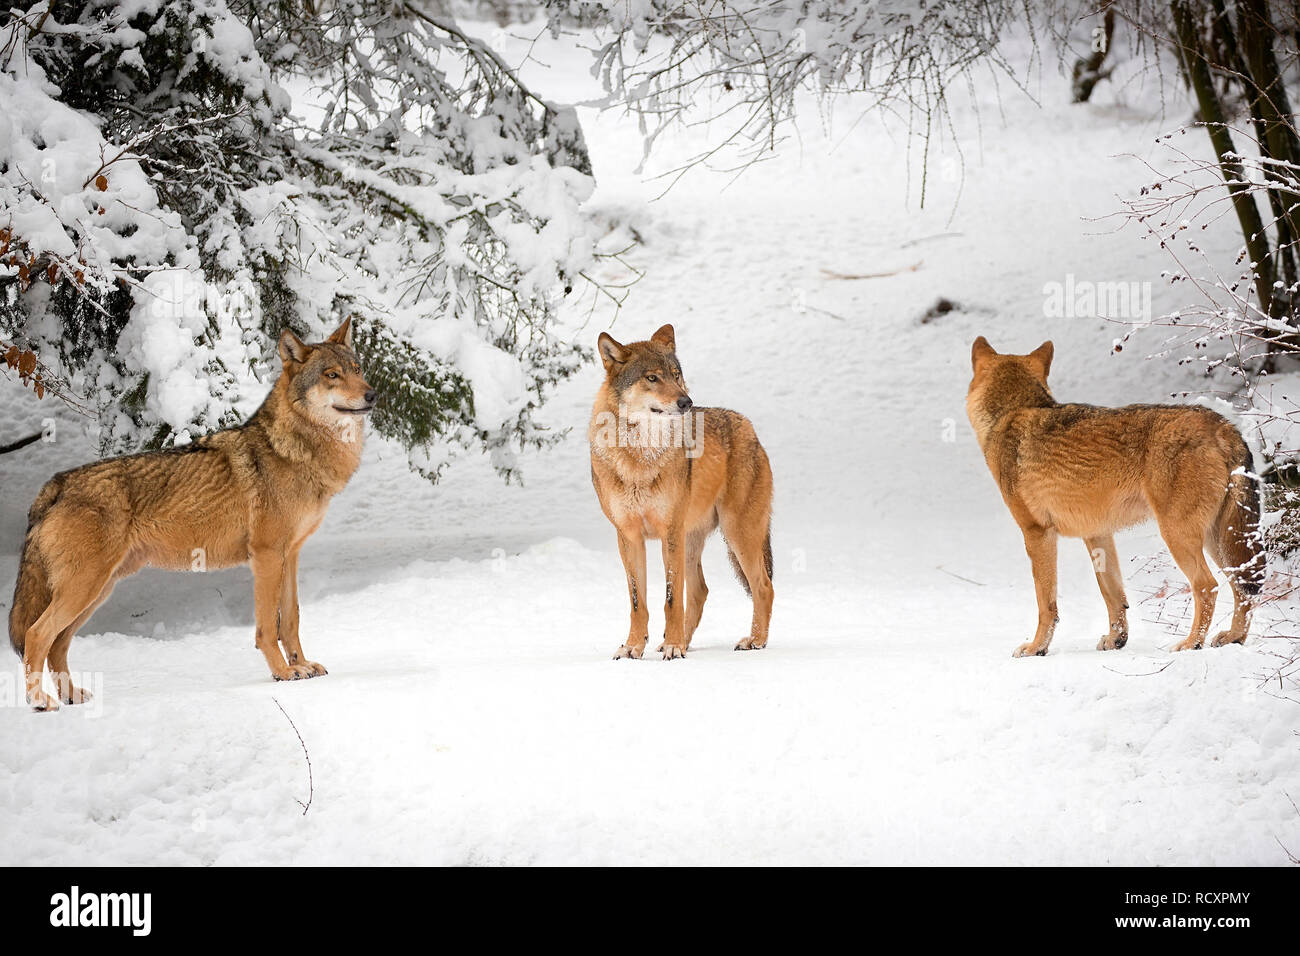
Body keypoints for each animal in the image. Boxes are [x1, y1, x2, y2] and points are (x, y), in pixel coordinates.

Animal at [9, 318, 374, 710]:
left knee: (58, 643)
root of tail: (55, 484)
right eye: (332, 375)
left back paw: (71, 695)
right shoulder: (265, 556)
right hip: (85, 588)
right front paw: (282, 672)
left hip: (97, 591)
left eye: (357, 370)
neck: (295, 450)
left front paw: (302, 665)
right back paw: (40, 701)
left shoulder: (289, 555)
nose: (372, 395)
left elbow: (291, 620)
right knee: (36, 635)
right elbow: (266, 628)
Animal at [589, 324, 774, 660]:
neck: (641, 456)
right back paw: (682, 643)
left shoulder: (669, 532)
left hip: (738, 534)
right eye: (652, 378)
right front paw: (634, 647)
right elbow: (639, 602)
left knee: (763, 586)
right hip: (694, 541)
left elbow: (672, 598)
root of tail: (749, 428)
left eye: (676, 375)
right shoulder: (628, 536)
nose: (686, 402)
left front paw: (673, 647)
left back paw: (753, 641)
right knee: (700, 591)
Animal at [967, 336, 1265, 657]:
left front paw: (1036, 648)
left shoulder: (1038, 534)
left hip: (1180, 537)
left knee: (1208, 586)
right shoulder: (1098, 535)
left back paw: (1190, 644)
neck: (1013, 413)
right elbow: (1112, 594)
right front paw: (1116, 640)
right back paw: (1233, 638)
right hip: (1219, 541)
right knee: (1243, 586)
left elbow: (1046, 604)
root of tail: (1223, 427)